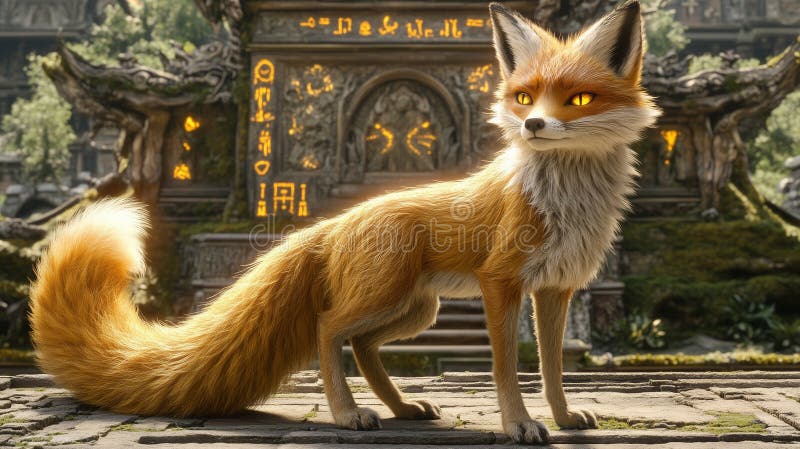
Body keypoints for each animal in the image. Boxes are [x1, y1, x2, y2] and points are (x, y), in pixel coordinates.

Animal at [29, 1, 659, 445]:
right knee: (329, 329)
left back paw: (401, 408)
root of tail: (332, 224)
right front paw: (519, 426)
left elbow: (552, 368)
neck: (568, 199)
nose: (531, 126)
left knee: (361, 345)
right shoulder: (501, 282)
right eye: (525, 96)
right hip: (390, 297)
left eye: (579, 99)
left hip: (415, 308)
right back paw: (348, 414)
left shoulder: (557, 288)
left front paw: (563, 417)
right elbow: (507, 370)